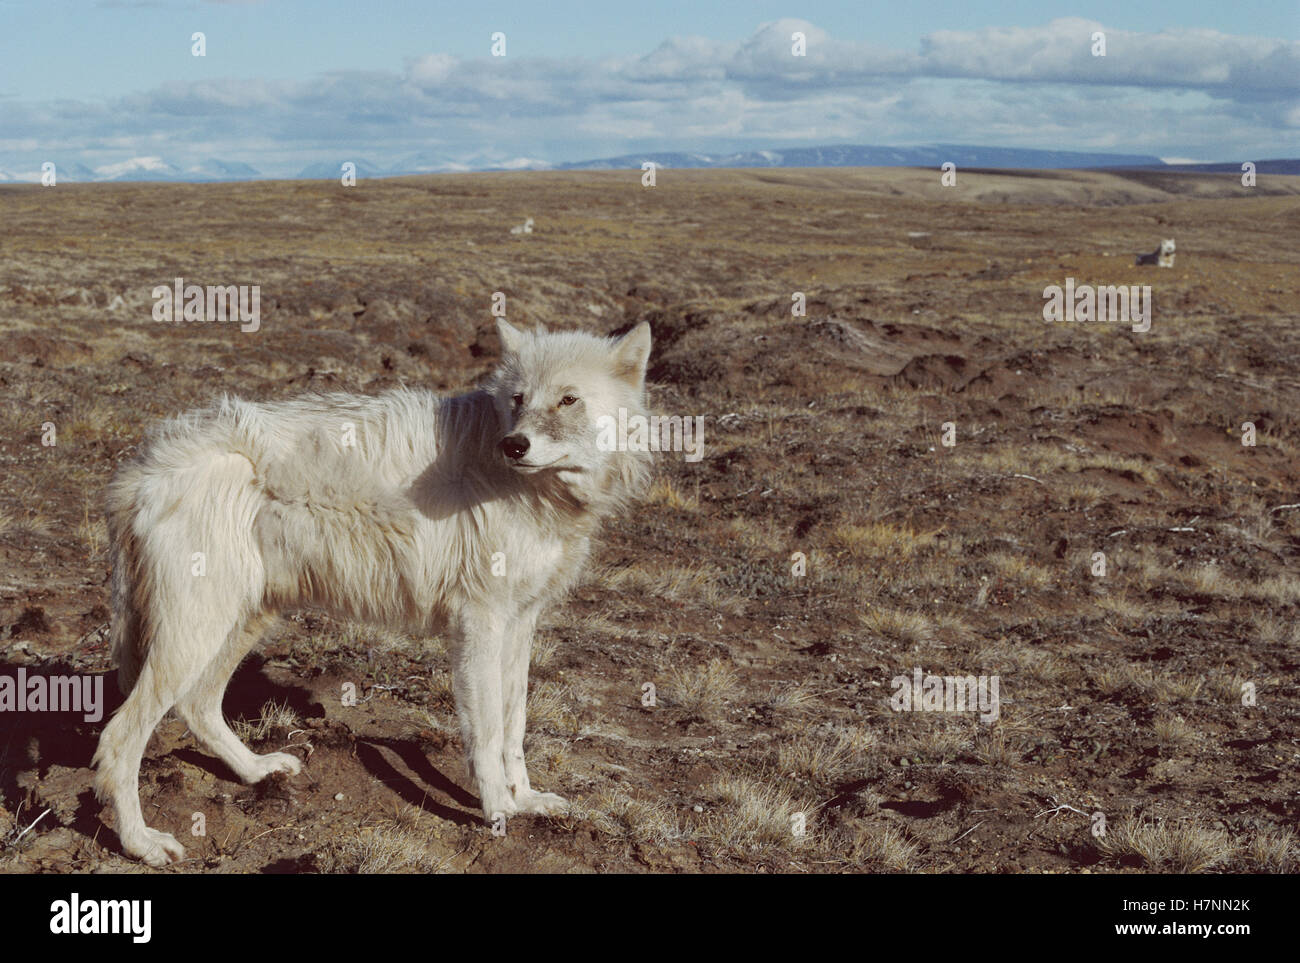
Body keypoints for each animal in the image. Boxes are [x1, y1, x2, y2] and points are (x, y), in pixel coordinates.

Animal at [92, 319, 653, 866]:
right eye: (517, 399)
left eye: (568, 399)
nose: (514, 445)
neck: (538, 494)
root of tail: (142, 463)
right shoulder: (478, 623)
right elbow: (487, 733)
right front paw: (497, 810)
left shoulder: (520, 622)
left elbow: (514, 727)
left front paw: (528, 799)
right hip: (196, 632)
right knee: (119, 739)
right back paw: (142, 843)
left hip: (243, 620)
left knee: (198, 705)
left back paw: (256, 770)